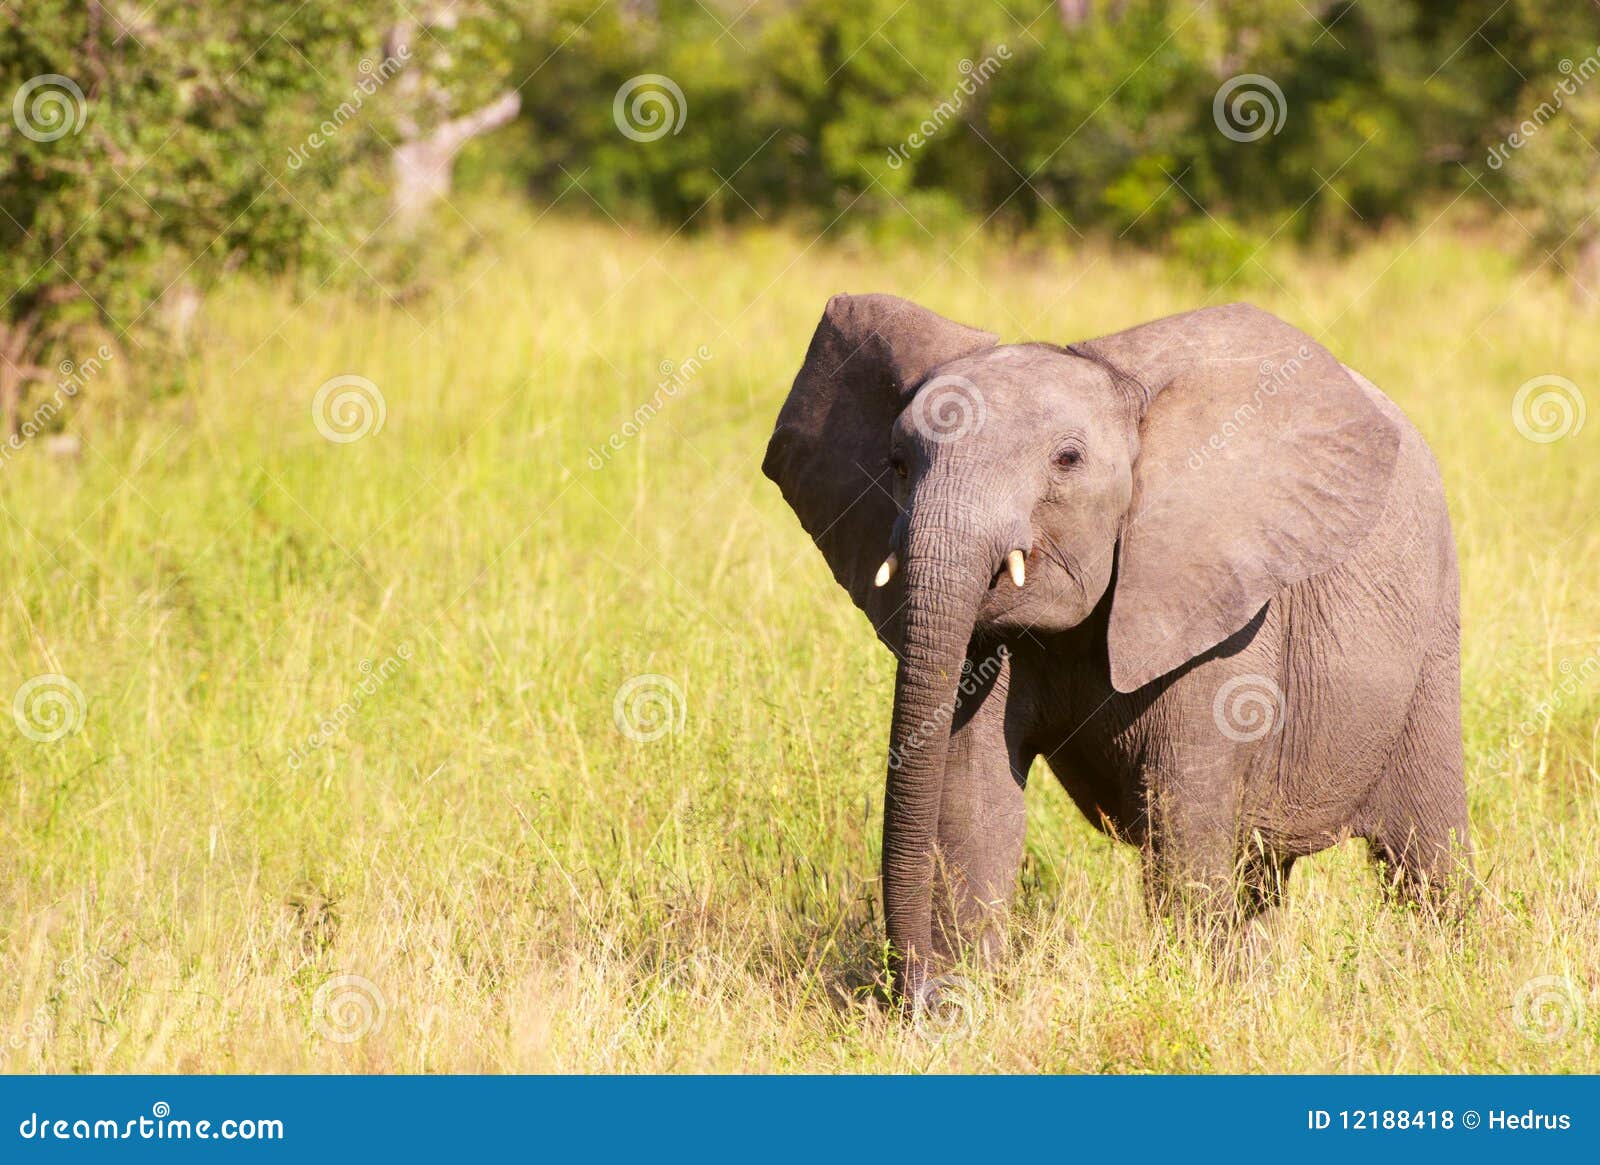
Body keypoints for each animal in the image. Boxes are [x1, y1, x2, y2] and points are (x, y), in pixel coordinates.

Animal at [762, 293, 1471, 1003]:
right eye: (898, 465)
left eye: (1067, 460)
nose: (918, 994)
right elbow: (973, 798)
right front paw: (966, 1005)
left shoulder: (1220, 610)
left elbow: (1183, 810)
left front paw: (1192, 996)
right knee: (1261, 875)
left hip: (1432, 635)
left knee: (1428, 858)